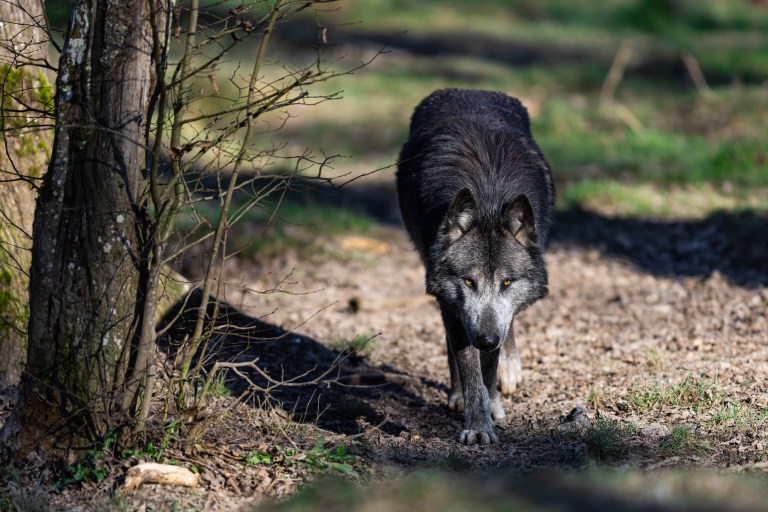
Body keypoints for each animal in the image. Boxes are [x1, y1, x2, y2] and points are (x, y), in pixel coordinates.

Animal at [396, 89, 555, 445]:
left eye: (507, 282)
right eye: (469, 281)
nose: (485, 338)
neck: (489, 198)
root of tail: (469, 90)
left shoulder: (496, 322)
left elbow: (490, 363)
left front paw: (494, 402)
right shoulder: (453, 303)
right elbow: (469, 367)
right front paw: (478, 424)